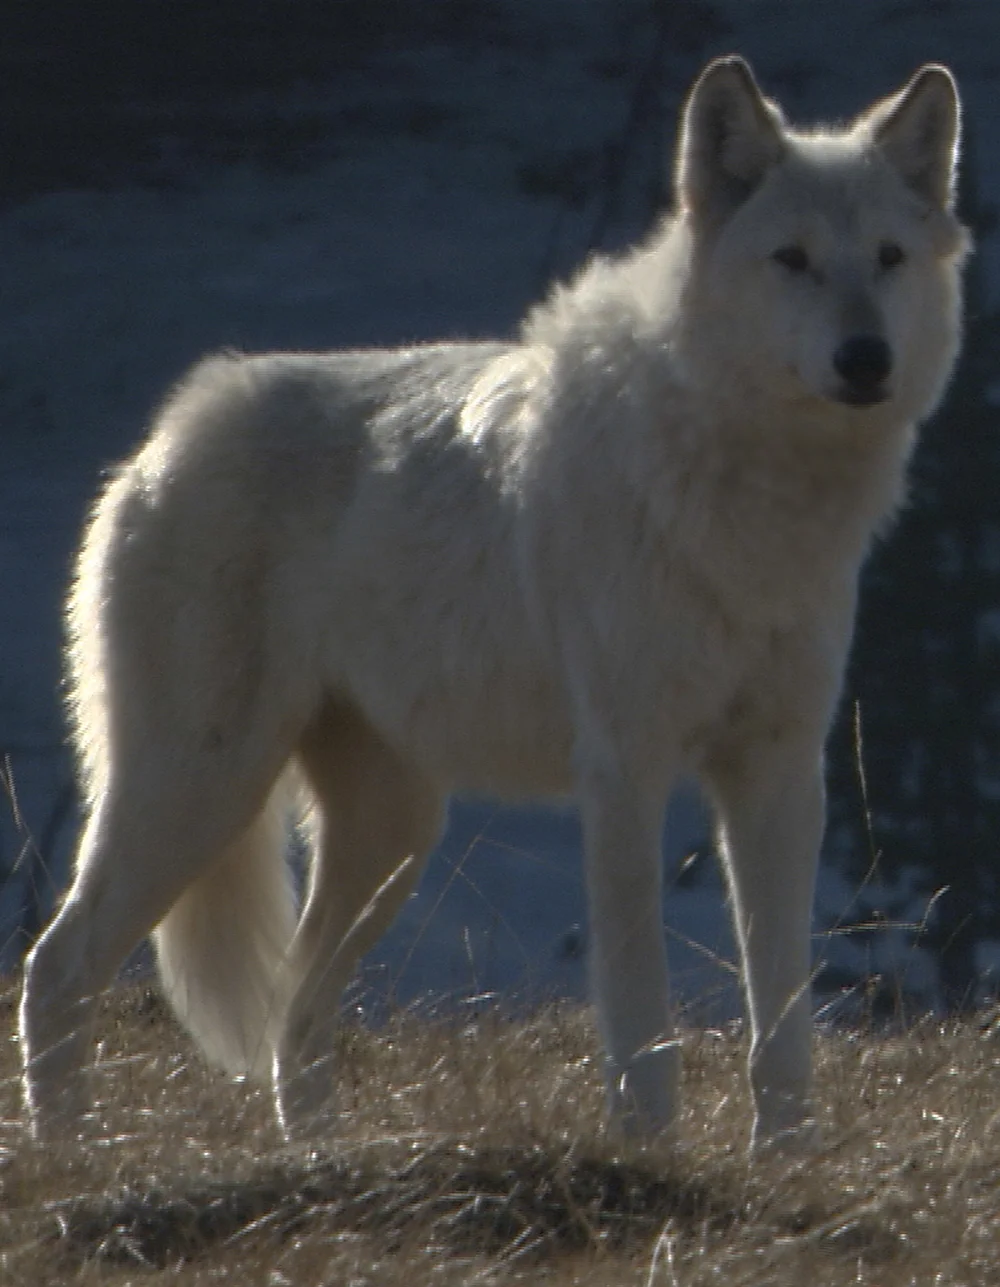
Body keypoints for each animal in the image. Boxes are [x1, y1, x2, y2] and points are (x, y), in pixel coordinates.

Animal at [21, 56, 968, 1152]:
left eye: (888, 257)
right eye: (793, 259)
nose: (865, 357)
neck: (750, 488)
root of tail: (161, 441)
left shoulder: (778, 771)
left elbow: (782, 1016)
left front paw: (784, 1158)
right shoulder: (625, 769)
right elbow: (640, 1010)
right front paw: (648, 1149)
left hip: (389, 834)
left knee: (295, 1008)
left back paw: (325, 1156)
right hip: (199, 788)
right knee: (58, 964)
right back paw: (68, 1157)